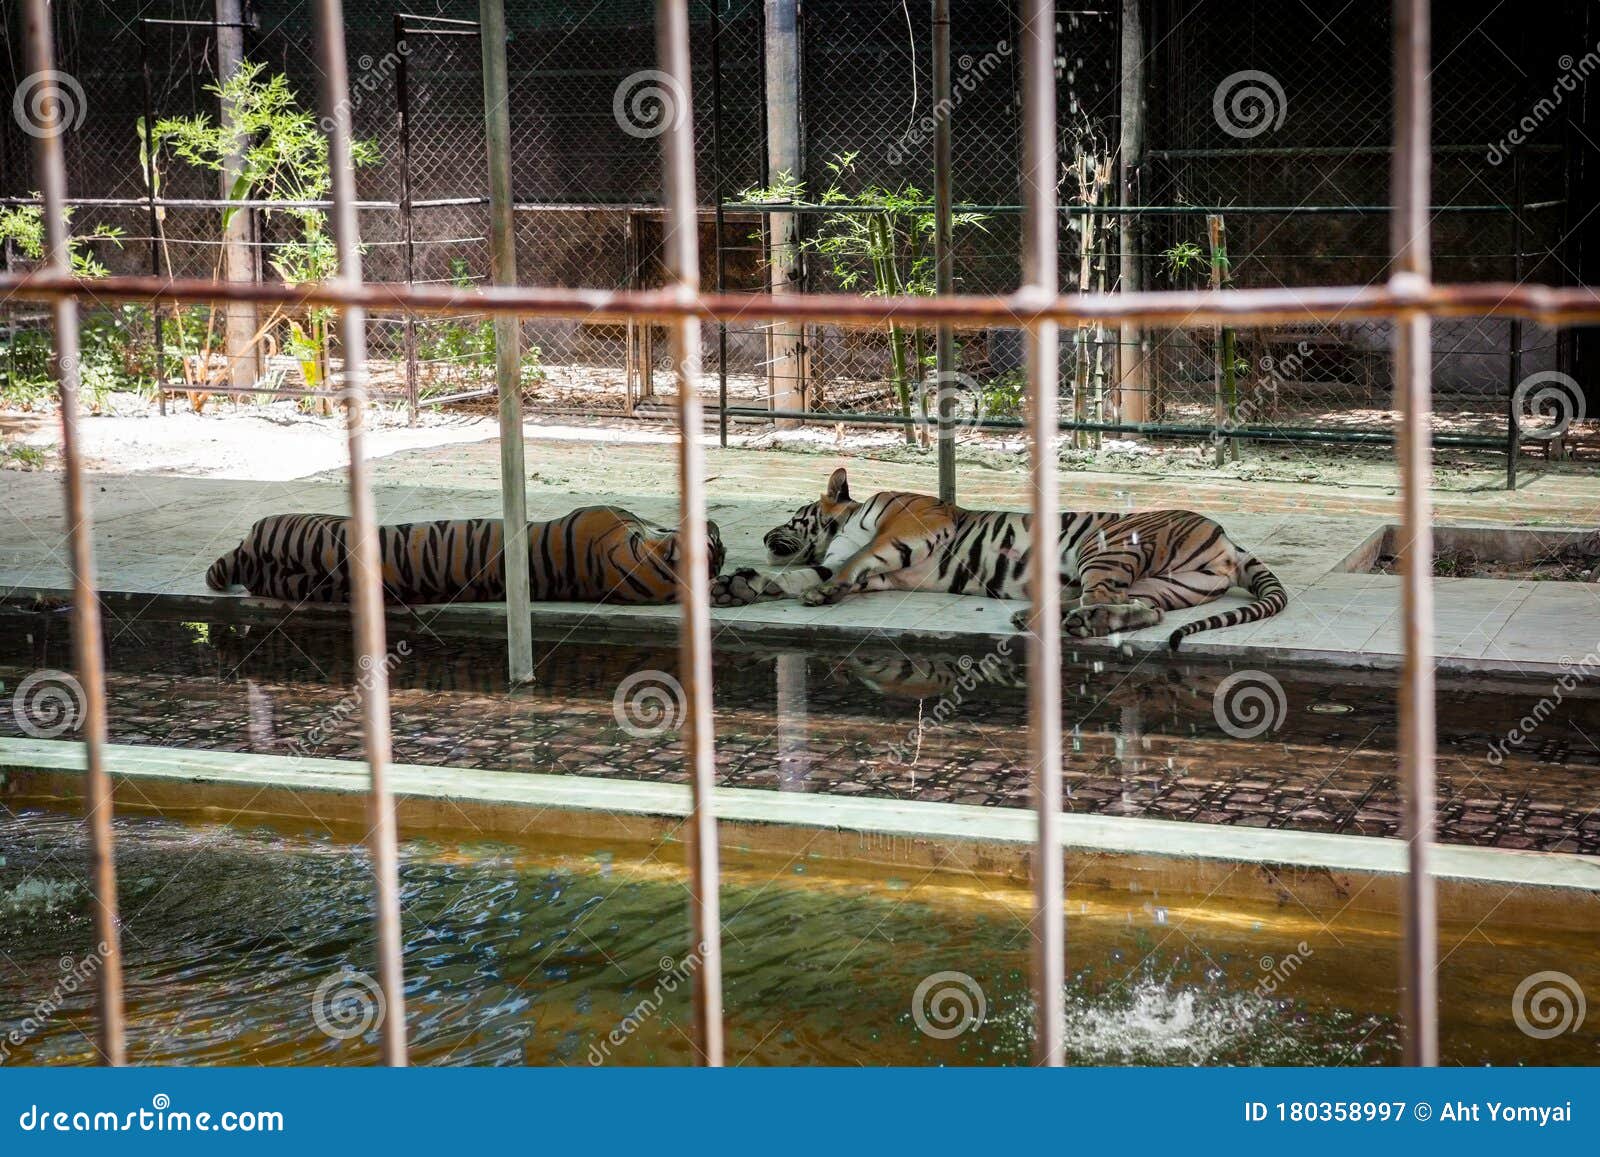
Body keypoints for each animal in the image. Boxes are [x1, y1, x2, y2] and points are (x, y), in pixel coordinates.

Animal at [710, 467, 1286, 649]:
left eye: (795, 514)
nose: (767, 534)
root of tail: (1227, 535)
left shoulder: (910, 525)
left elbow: (851, 563)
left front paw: (816, 591)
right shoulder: (881, 574)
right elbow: (818, 571)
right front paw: (739, 585)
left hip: (1108, 547)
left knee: (1106, 600)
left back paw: (1056, 620)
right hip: (1162, 584)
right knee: (1145, 610)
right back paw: (1051, 618)